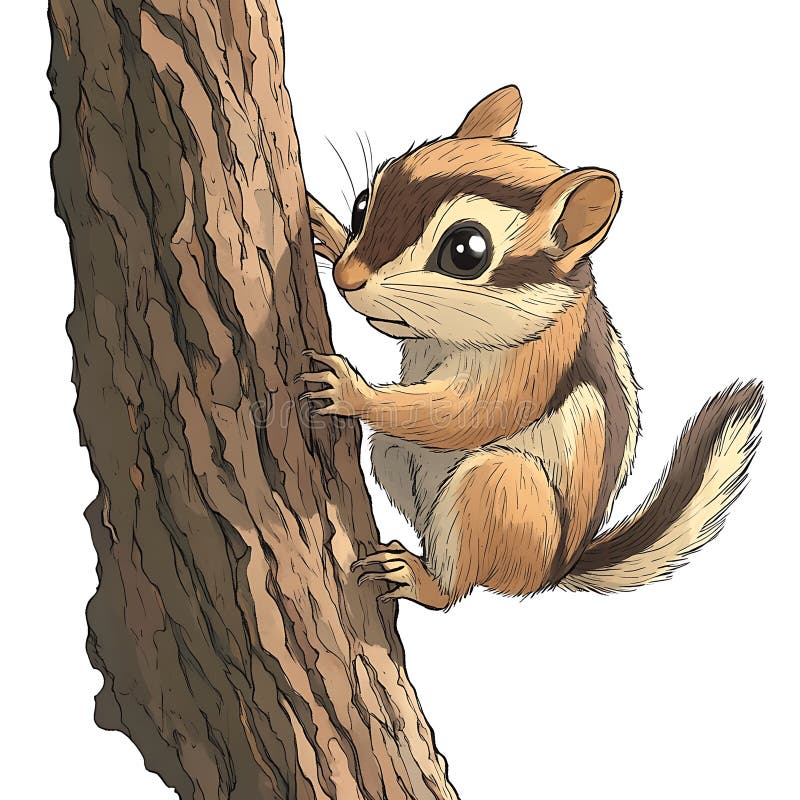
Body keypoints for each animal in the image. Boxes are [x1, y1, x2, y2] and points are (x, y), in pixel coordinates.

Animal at [299, 85, 764, 610]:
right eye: (362, 204)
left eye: (465, 251)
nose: (346, 279)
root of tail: (554, 571)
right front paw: (322, 224)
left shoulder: (531, 363)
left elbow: (463, 415)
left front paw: (348, 388)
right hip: (394, 455)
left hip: (500, 487)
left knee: (459, 587)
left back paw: (420, 579)